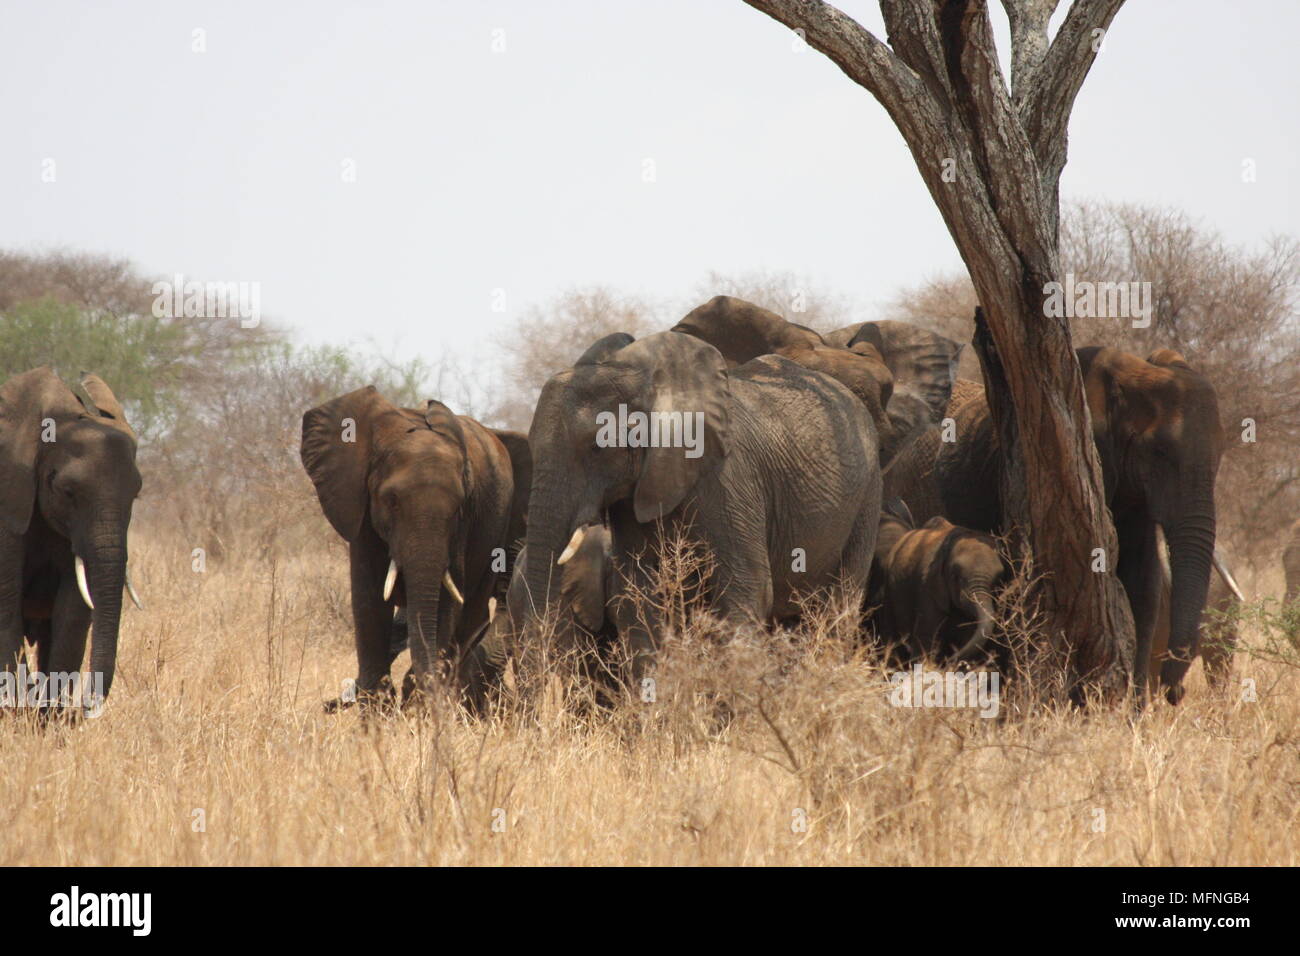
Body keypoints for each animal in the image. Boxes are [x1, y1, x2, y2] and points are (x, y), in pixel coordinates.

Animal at [0, 367, 143, 713]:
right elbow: (6, 605)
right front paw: (20, 714)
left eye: (136, 494)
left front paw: (46, 719)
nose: (84, 711)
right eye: (67, 492)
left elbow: (73, 613)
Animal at [300, 386, 530, 710]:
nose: (326, 705)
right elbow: (368, 599)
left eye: (459, 507)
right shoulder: (362, 513)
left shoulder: (463, 529)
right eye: (391, 501)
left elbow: (447, 602)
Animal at [519, 329, 882, 686]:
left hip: (867, 496)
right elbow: (636, 593)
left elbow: (745, 586)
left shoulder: (729, 478)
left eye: (596, 447)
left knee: (839, 605)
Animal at [874, 510, 1009, 665]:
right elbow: (926, 633)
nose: (947, 661)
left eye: (998, 578)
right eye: (955, 576)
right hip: (889, 586)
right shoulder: (929, 585)